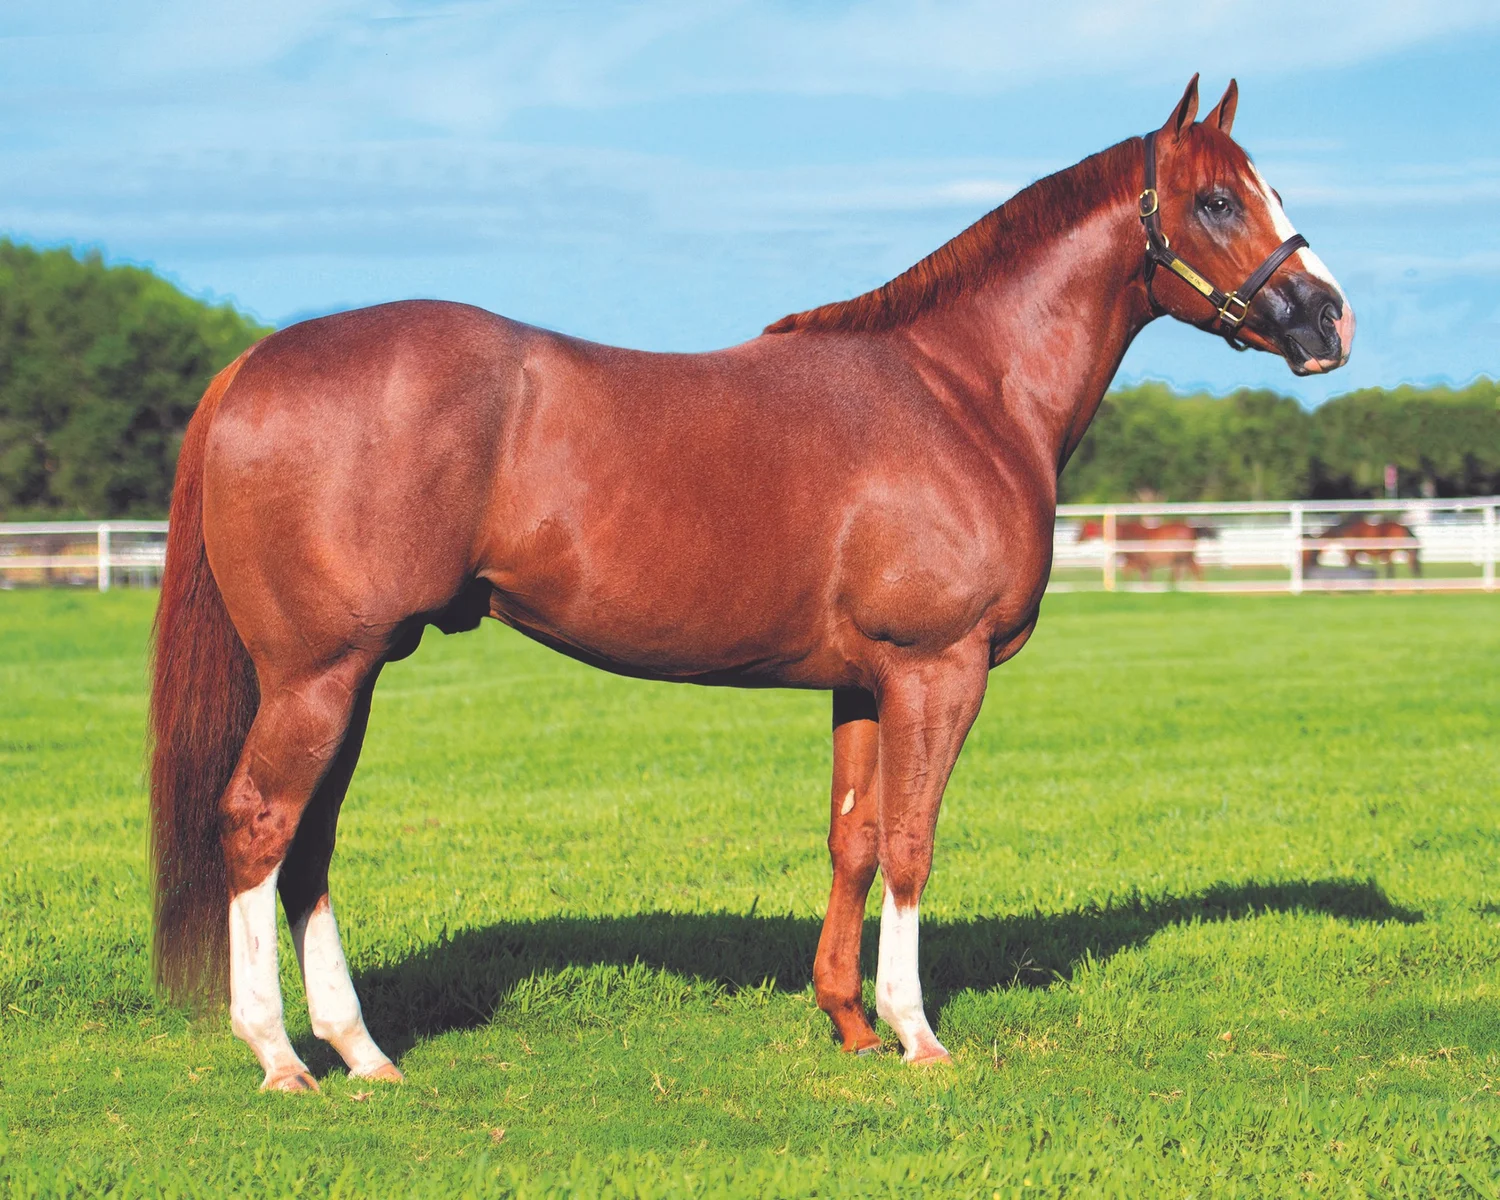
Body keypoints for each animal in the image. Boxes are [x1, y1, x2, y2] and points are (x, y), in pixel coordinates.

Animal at [1076, 518, 1214, 584]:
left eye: (1084, 528)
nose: (1076, 539)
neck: (1127, 535)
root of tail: (1193, 529)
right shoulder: (1142, 564)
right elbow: (1143, 578)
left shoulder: (1138, 562)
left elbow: (1132, 574)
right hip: (1183, 558)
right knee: (1188, 571)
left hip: (1184, 557)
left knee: (1194, 570)